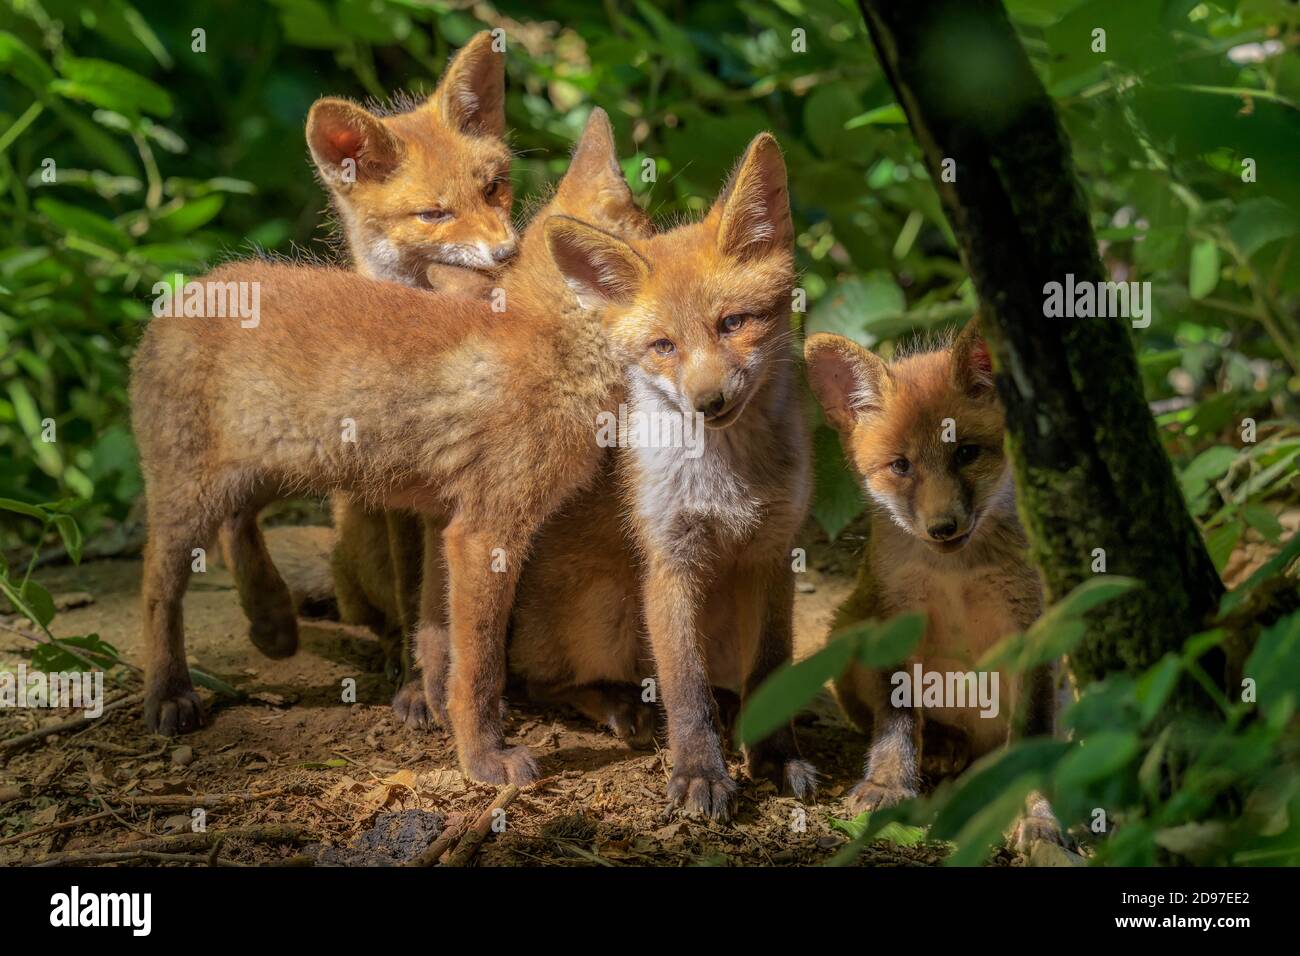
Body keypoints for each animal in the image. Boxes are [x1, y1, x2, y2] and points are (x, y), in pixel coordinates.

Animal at [129, 113, 770, 789]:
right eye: (654, 235)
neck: (549, 340)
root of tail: (180, 295)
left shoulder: (445, 519)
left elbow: (438, 634)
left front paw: (433, 703)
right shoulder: (485, 529)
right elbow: (480, 667)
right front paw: (482, 758)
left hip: (285, 466)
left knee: (240, 522)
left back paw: (271, 618)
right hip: (199, 496)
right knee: (157, 585)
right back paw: (170, 691)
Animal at [219, 31, 515, 686]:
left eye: (492, 189)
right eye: (433, 214)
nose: (509, 252)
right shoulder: (400, 494)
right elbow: (415, 591)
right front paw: (415, 679)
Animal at [508, 133, 816, 820]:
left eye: (734, 323)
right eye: (663, 346)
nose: (708, 401)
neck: (727, 482)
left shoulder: (774, 553)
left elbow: (773, 668)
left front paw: (775, 755)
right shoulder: (669, 560)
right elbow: (683, 688)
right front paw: (701, 771)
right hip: (606, 609)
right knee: (542, 683)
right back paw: (614, 703)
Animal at [803, 322, 1064, 847]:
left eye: (966, 453)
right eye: (901, 466)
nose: (943, 528)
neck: (955, 573)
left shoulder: (1031, 625)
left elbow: (1032, 734)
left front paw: (1037, 814)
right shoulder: (896, 619)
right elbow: (897, 722)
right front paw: (889, 784)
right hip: (850, 626)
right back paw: (943, 743)